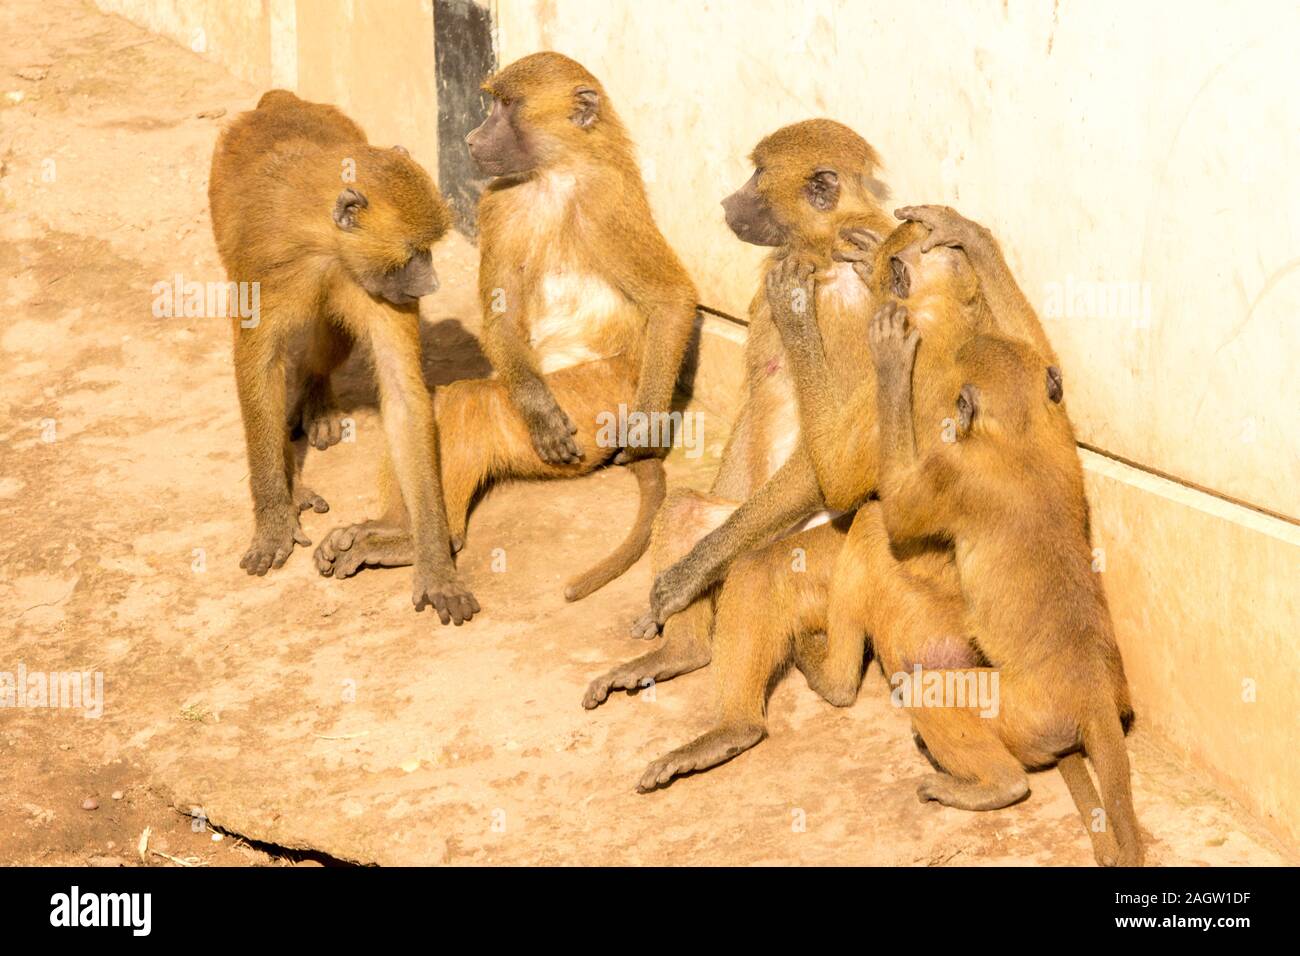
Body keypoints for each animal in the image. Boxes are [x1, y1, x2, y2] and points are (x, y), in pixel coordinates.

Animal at [209, 89, 479, 625]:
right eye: (415, 252)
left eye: (430, 250)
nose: (432, 284)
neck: (326, 242)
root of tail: (279, 100)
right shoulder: (268, 263)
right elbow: (259, 371)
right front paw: (274, 515)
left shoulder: (378, 286)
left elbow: (403, 396)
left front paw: (434, 564)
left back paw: (316, 398)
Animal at [312, 53, 697, 603]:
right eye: (490, 103)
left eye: (507, 106)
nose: (472, 138)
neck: (553, 175)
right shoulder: (497, 201)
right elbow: (501, 315)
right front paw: (538, 408)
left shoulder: (607, 199)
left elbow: (671, 299)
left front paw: (647, 432)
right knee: (441, 403)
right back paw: (395, 532)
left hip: (596, 406)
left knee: (469, 403)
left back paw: (424, 542)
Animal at [861, 302, 1142, 867]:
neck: (1019, 430)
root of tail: (1093, 693)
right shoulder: (1060, 431)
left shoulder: (951, 469)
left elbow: (897, 512)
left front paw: (891, 363)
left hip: (1022, 713)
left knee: (927, 688)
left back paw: (997, 786)